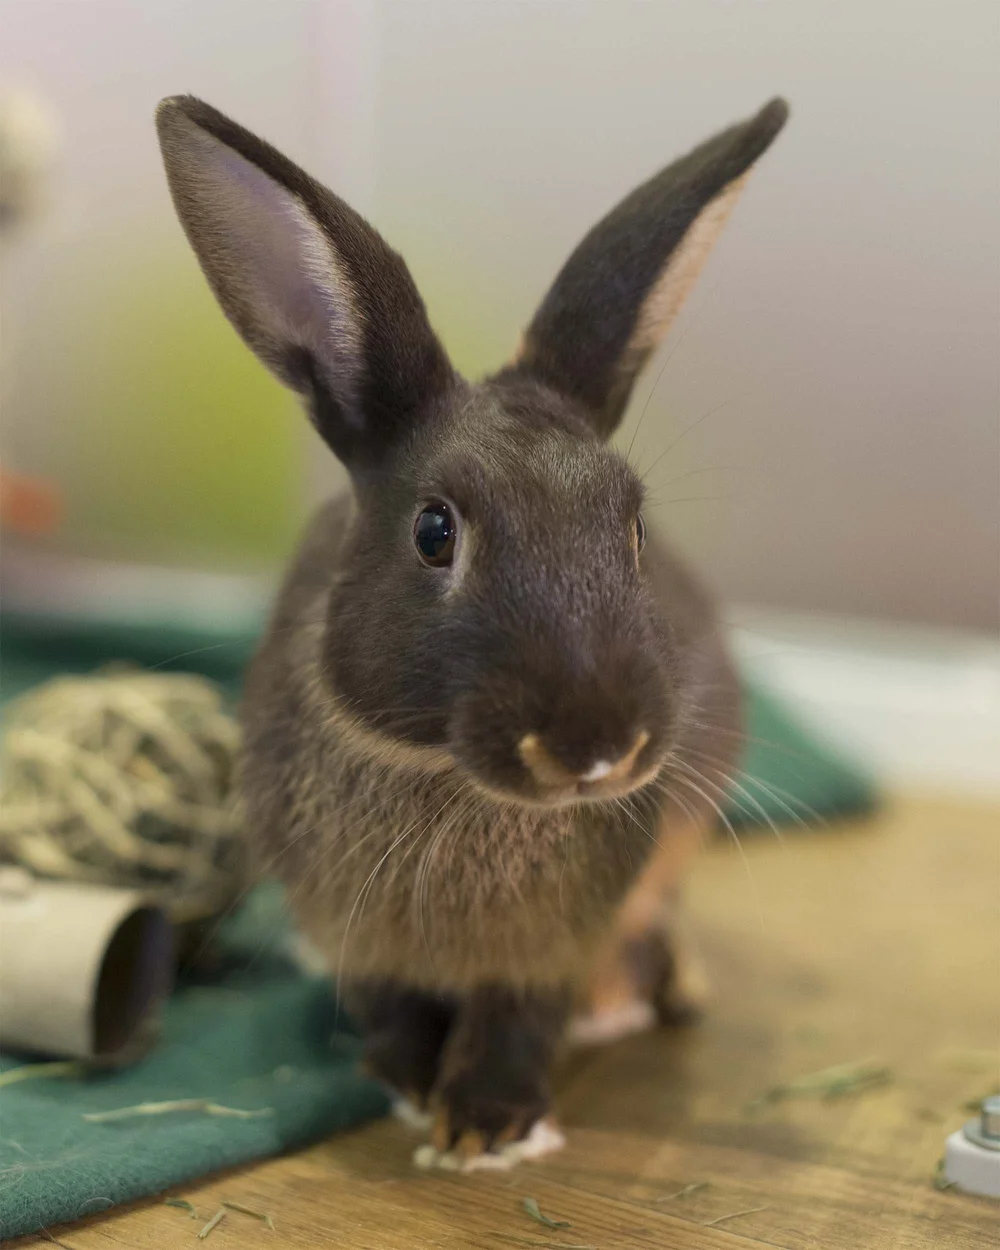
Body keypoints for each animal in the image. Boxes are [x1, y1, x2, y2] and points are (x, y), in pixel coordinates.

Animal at [156, 93, 788, 1166]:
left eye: (634, 528)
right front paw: (413, 1084)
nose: (597, 748)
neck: (451, 784)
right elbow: (392, 1004)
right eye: (434, 531)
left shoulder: (553, 947)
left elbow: (521, 1017)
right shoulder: (355, 935)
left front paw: (487, 1123)